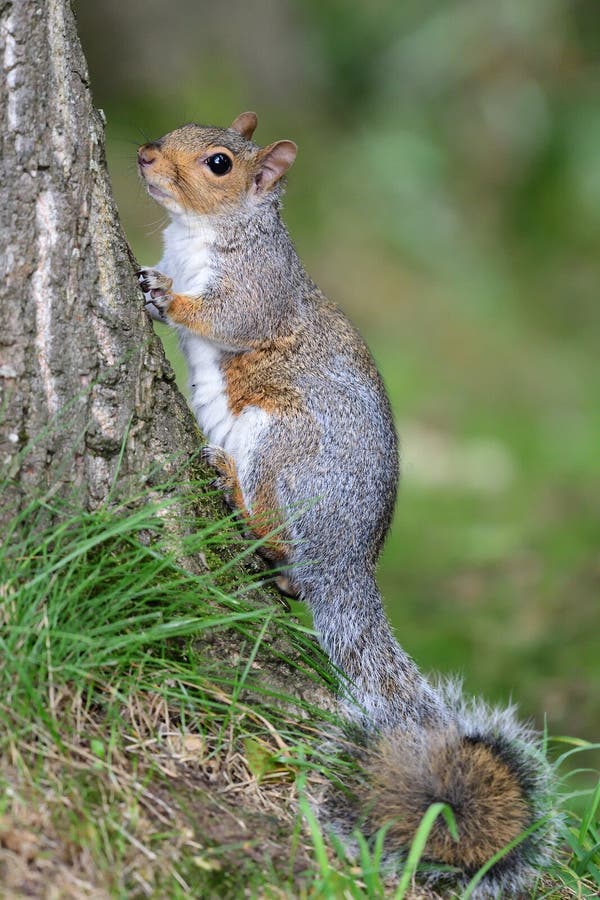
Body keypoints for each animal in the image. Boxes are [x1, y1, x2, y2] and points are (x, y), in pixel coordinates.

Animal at [136, 111, 556, 895]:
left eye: (218, 163)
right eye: (178, 131)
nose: (145, 154)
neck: (203, 232)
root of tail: (348, 559)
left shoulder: (258, 289)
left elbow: (226, 317)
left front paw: (164, 297)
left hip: (285, 450)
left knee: (274, 534)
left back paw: (229, 483)